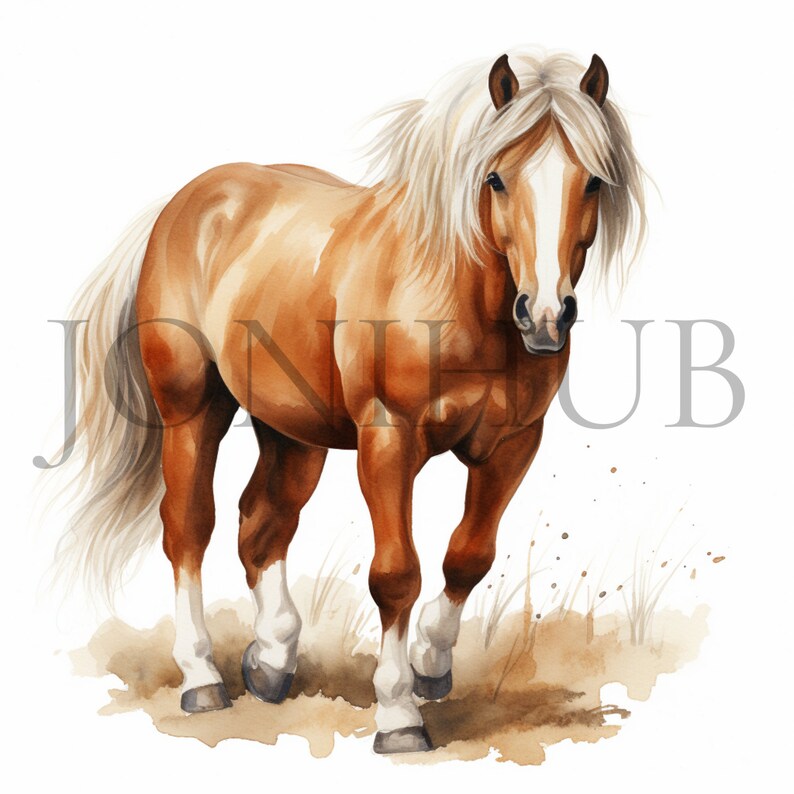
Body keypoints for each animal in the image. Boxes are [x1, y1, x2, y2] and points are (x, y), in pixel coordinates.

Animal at [56, 49, 646, 754]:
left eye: (593, 182)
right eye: (497, 179)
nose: (547, 315)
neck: (455, 297)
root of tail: (187, 203)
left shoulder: (511, 445)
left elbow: (468, 557)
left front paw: (431, 666)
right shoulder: (388, 440)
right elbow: (396, 574)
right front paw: (397, 713)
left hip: (293, 432)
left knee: (263, 523)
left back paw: (271, 661)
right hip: (192, 411)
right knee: (189, 528)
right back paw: (202, 676)